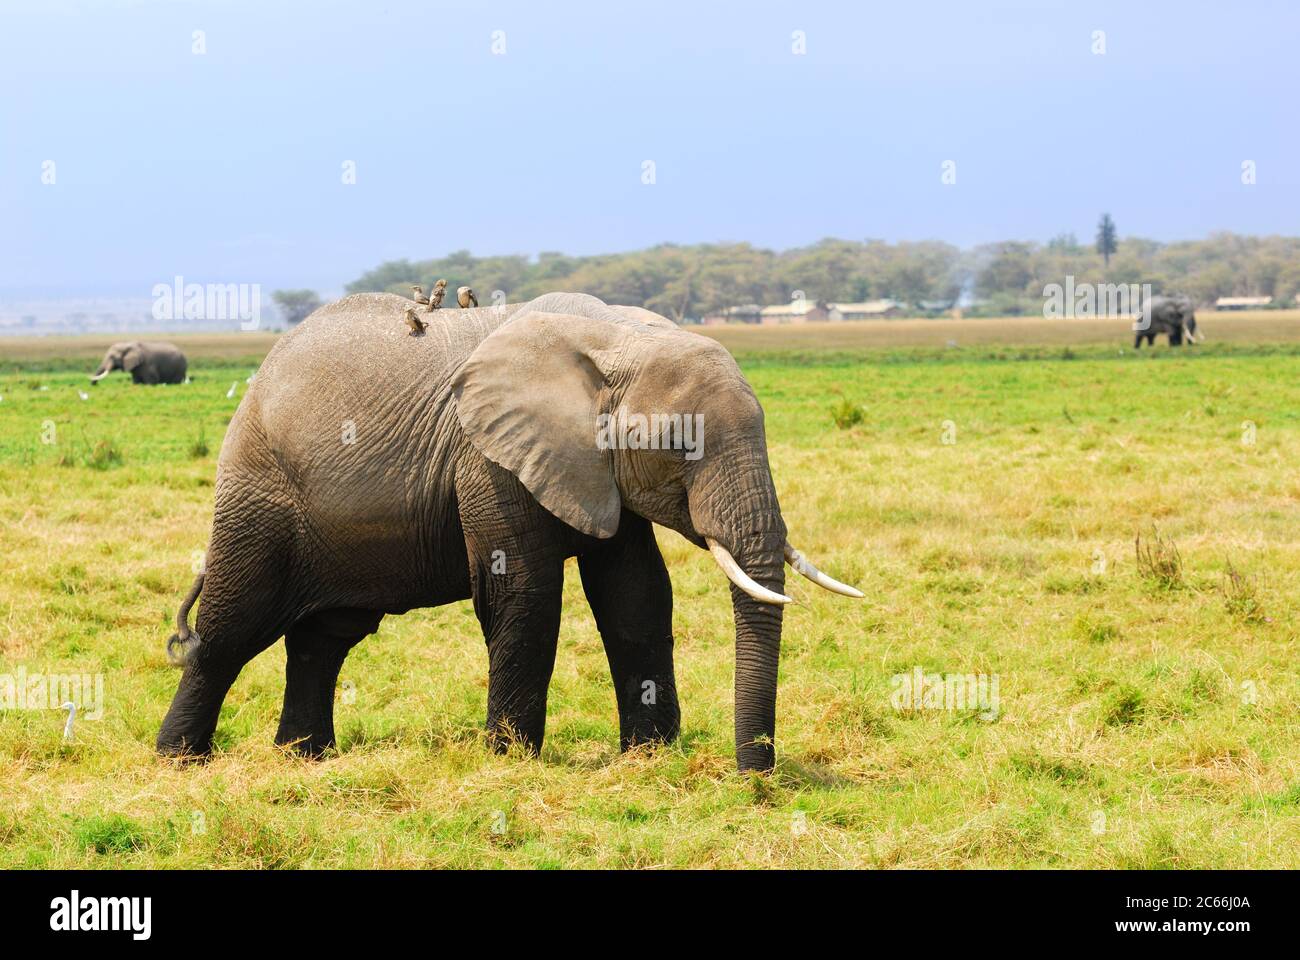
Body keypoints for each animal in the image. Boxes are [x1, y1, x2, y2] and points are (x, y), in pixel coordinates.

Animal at [156, 292, 861, 772]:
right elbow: (522, 591)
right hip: (259, 496)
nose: (755, 775)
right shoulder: (488, 456)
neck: (615, 336)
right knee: (231, 628)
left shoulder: (595, 468)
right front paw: (510, 760)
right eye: (677, 444)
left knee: (323, 640)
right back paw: (180, 762)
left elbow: (636, 595)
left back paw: (305, 760)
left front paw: (647, 758)